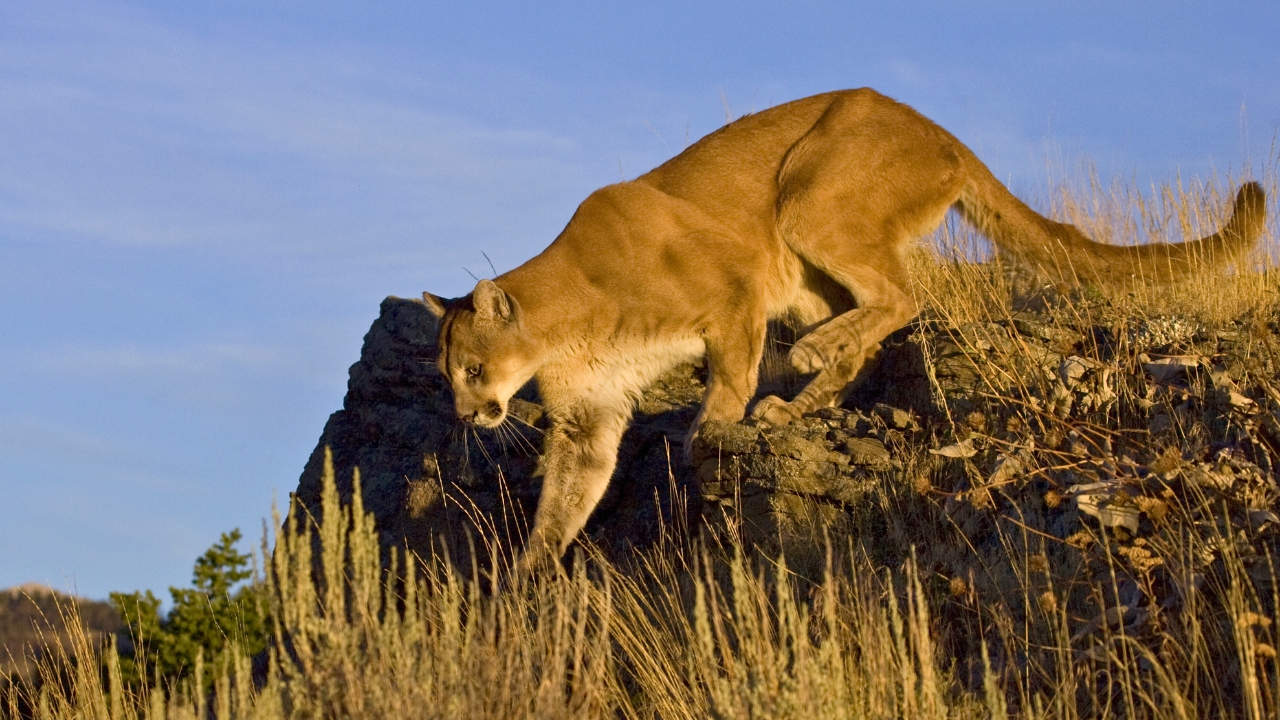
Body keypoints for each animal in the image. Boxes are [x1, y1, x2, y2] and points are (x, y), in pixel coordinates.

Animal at [421, 88, 1266, 573]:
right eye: (446, 375)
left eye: (470, 369)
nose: (464, 414)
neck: (565, 320)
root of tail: (940, 130)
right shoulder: (588, 416)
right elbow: (567, 497)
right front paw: (529, 578)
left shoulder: (732, 291)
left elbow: (728, 376)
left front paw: (711, 433)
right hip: (805, 268)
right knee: (868, 323)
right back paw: (798, 401)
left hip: (808, 199)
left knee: (903, 294)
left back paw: (805, 365)